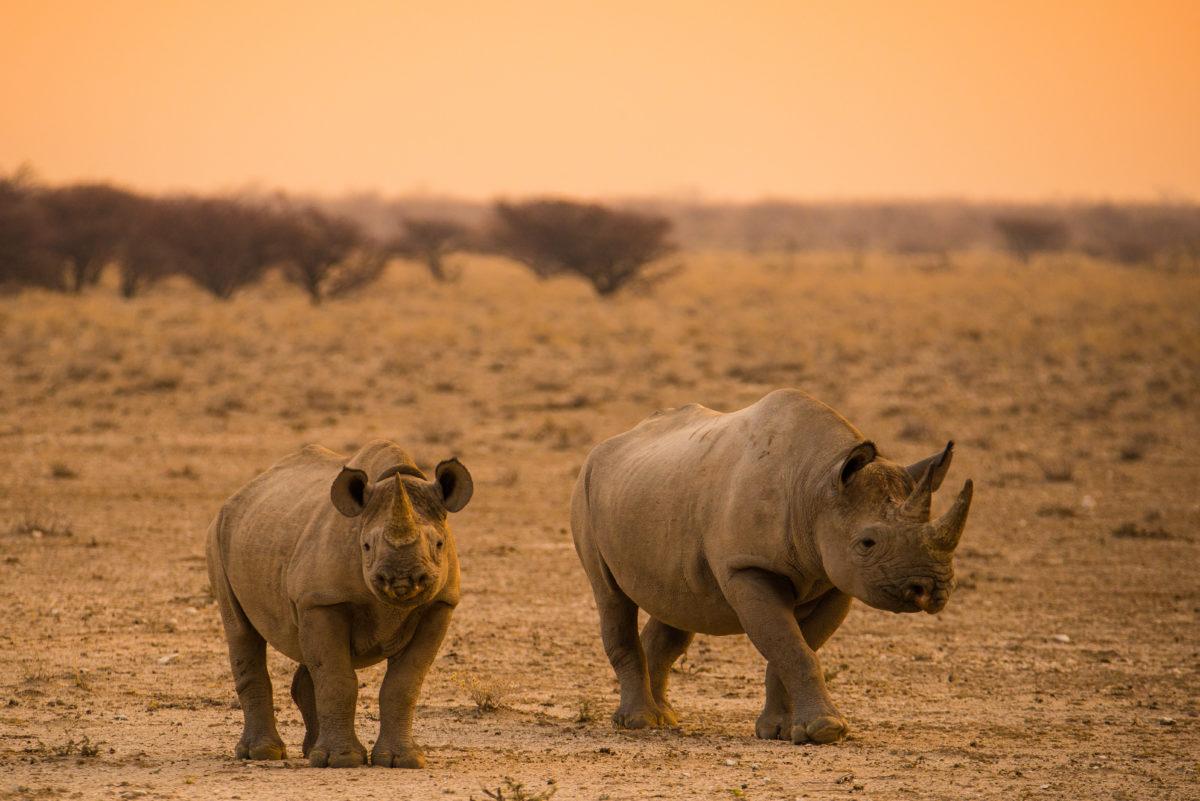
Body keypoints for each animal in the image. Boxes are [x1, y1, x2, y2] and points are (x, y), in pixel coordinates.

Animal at [205, 440, 473, 768]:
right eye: (366, 546)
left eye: (439, 544)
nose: (402, 578)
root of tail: (240, 493)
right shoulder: (323, 601)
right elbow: (337, 679)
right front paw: (342, 760)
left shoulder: (440, 604)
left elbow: (404, 683)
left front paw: (404, 760)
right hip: (218, 535)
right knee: (242, 632)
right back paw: (264, 753)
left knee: (306, 652)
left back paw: (311, 752)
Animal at [570, 389, 972, 744]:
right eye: (867, 543)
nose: (933, 589)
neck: (817, 485)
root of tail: (608, 443)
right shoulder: (748, 567)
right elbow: (793, 649)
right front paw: (827, 731)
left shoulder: (834, 578)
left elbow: (794, 648)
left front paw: (781, 731)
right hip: (586, 490)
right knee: (611, 596)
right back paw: (638, 723)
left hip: (659, 494)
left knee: (675, 606)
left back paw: (665, 718)